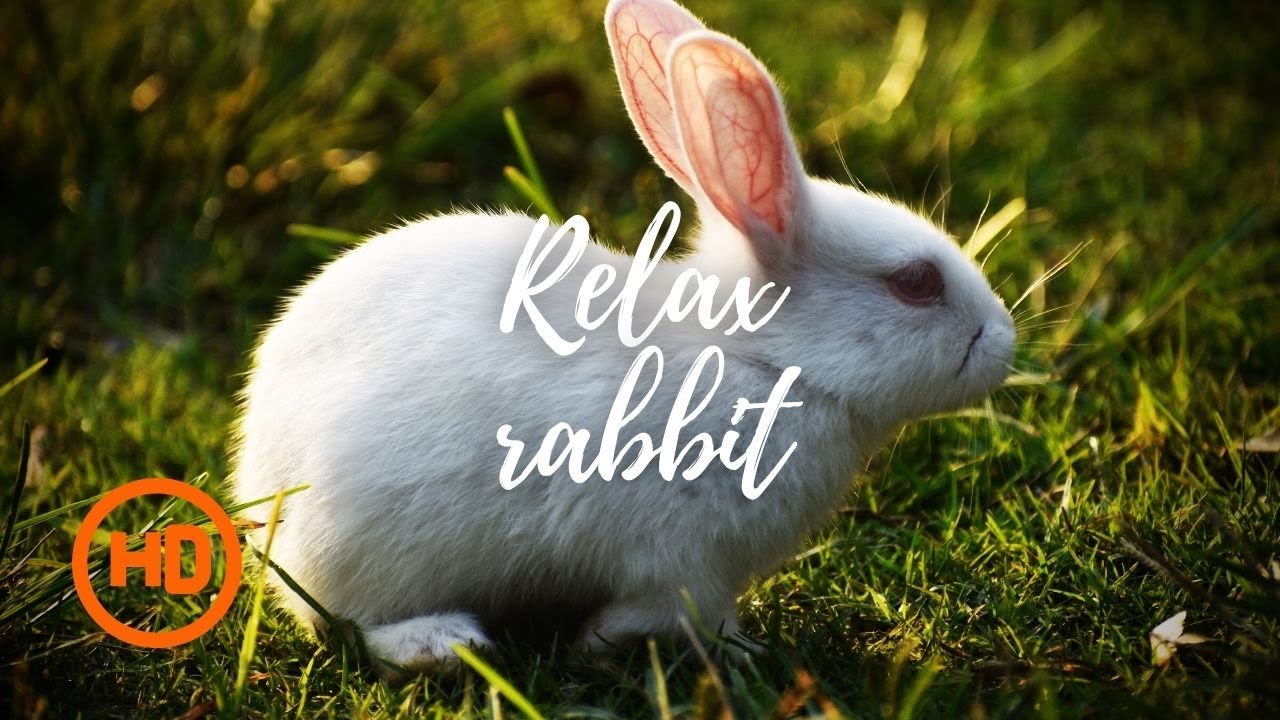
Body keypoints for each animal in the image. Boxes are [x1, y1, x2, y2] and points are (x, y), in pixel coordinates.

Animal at [231, 0, 1016, 674]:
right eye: (916, 282)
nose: (1005, 341)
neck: (762, 360)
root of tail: (259, 480)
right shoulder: (686, 561)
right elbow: (681, 614)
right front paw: (704, 650)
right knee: (343, 618)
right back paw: (442, 643)